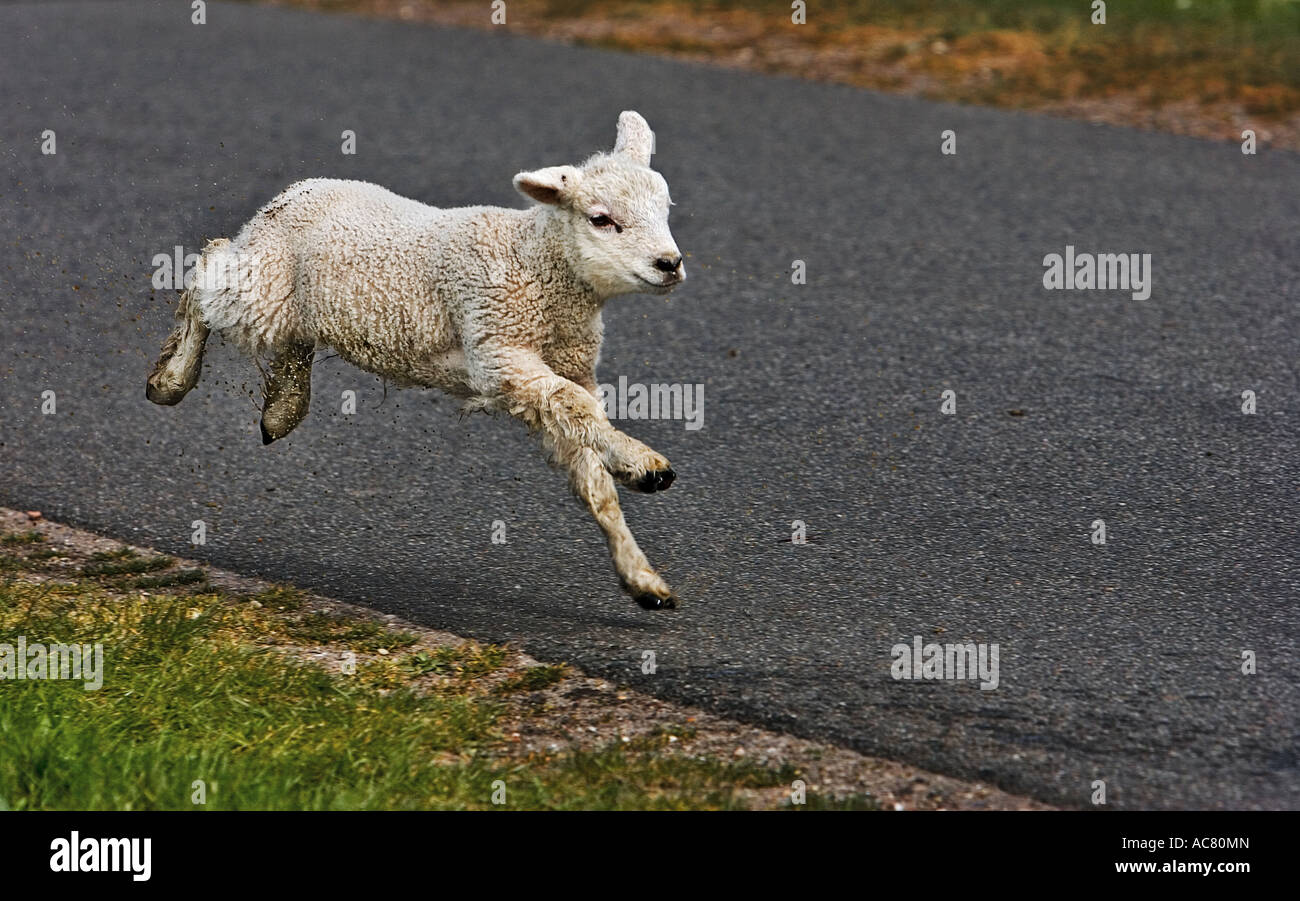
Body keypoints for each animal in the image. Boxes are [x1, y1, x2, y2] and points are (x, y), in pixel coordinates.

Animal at [146, 111, 687, 610]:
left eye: (664, 209)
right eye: (601, 219)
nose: (670, 264)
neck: (538, 266)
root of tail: (296, 191)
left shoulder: (560, 368)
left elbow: (589, 458)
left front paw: (642, 577)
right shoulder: (498, 350)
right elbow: (577, 407)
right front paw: (646, 466)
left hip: (303, 301)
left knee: (291, 338)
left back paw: (282, 408)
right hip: (261, 286)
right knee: (208, 269)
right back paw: (172, 379)